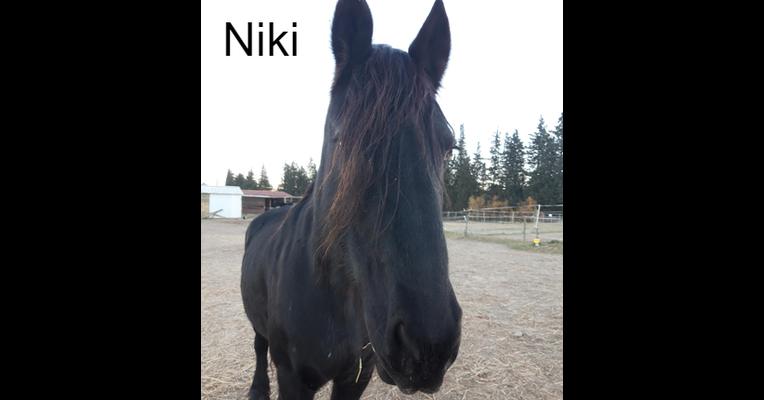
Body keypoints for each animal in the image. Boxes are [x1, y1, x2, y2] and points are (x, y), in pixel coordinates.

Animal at [241, 1, 461, 398]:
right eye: (342, 139)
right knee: (258, 344)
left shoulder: (356, 376)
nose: (427, 345)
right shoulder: (293, 378)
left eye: (449, 146)